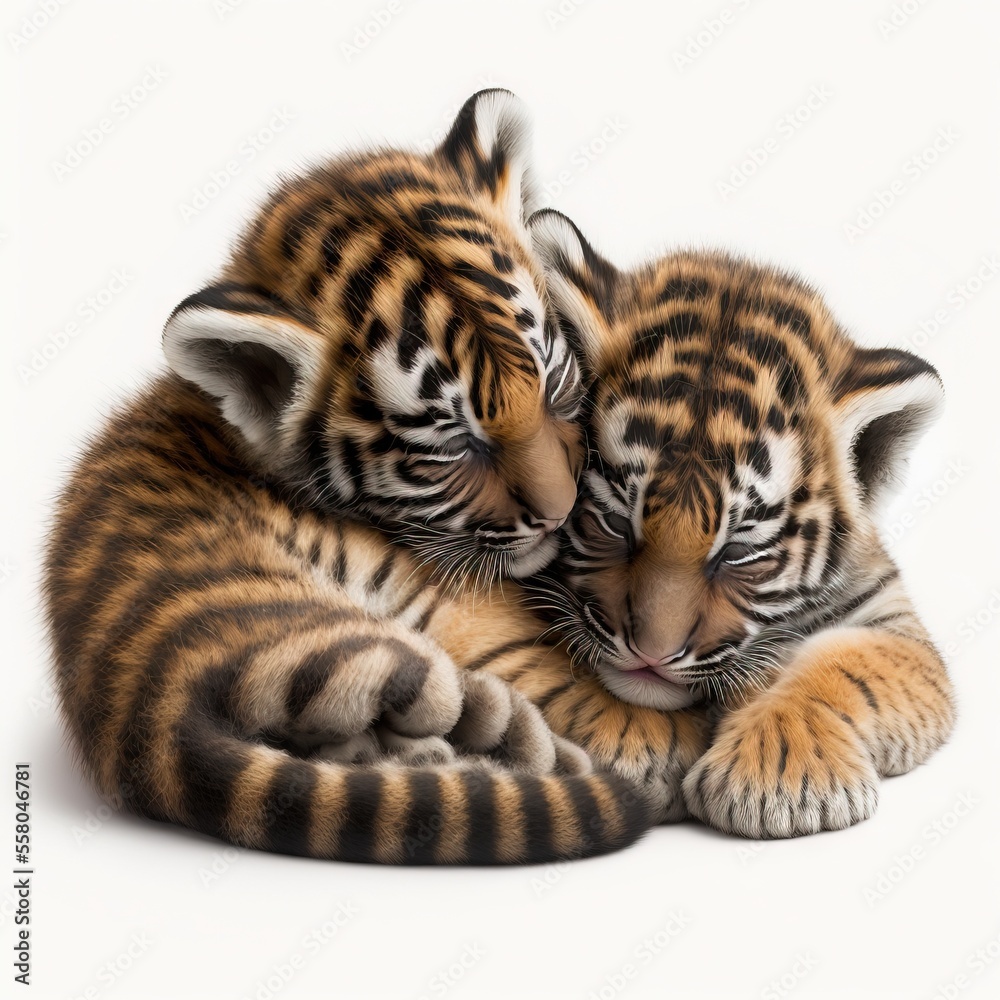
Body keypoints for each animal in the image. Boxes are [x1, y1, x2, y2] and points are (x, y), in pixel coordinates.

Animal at [498, 208, 956, 838]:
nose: (652, 655)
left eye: (737, 552)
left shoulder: (895, 626)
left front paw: (781, 775)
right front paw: (636, 743)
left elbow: (846, 666)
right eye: (615, 522)